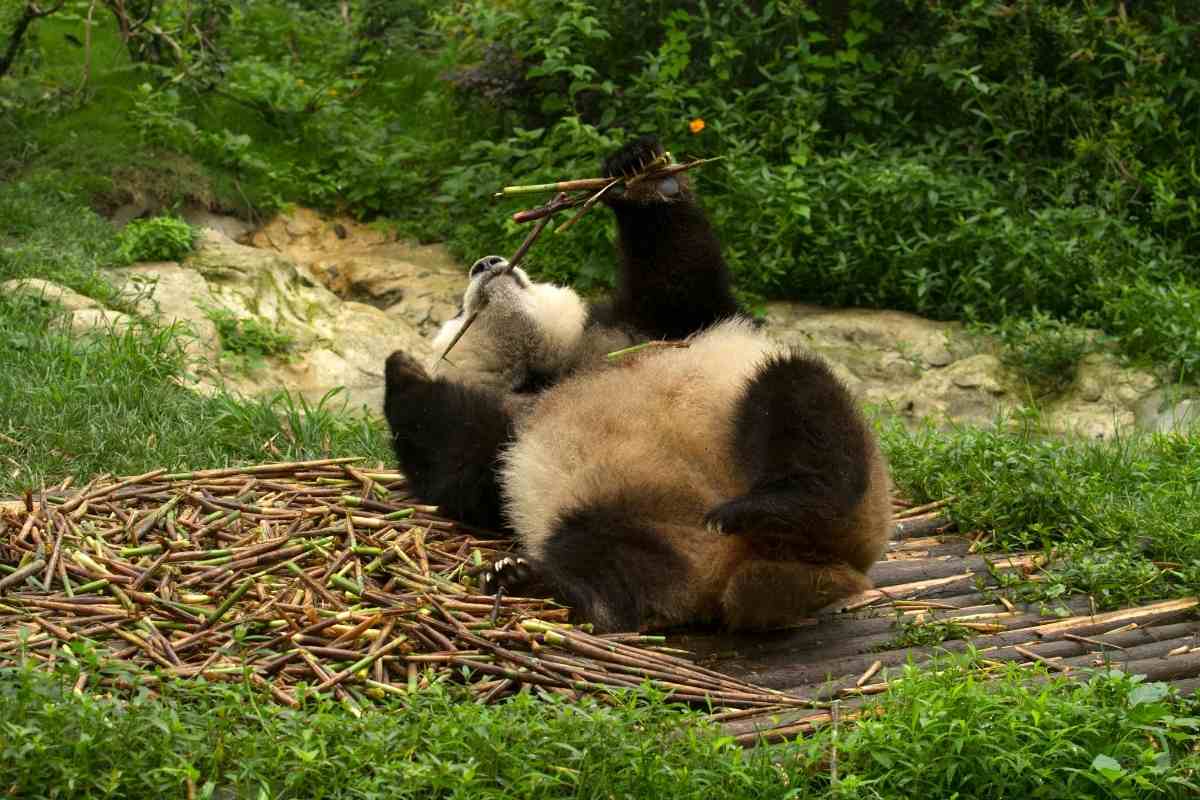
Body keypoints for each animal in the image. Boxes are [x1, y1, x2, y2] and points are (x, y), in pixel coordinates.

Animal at [383, 137, 892, 632]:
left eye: (526, 275)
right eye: (457, 310)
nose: (486, 263)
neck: (547, 371)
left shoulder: (642, 330)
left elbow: (679, 276)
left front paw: (639, 172)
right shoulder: (510, 431)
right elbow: (461, 464)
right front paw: (402, 371)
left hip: (822, 465)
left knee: (798, 401)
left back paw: (786, 503)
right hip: (619, 511)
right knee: (606, 558)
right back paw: (531, 579)